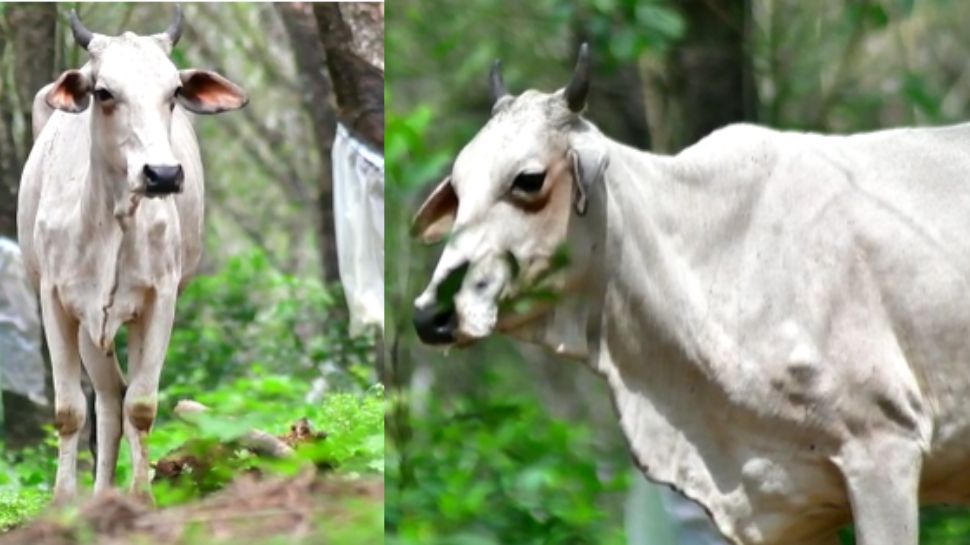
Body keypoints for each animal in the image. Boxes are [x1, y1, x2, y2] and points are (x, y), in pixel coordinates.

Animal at [17, 7, 247, 504]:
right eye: (103, 92)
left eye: (173, 92)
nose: (162, 174)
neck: (112, 222)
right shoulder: (55, 301)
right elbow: (68, 410)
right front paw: (62, 502)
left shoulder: (161, 299)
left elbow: (141, 405)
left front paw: (141, 497)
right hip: (87, 323)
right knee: (105, 397)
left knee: (116, 398)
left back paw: (107, 495)